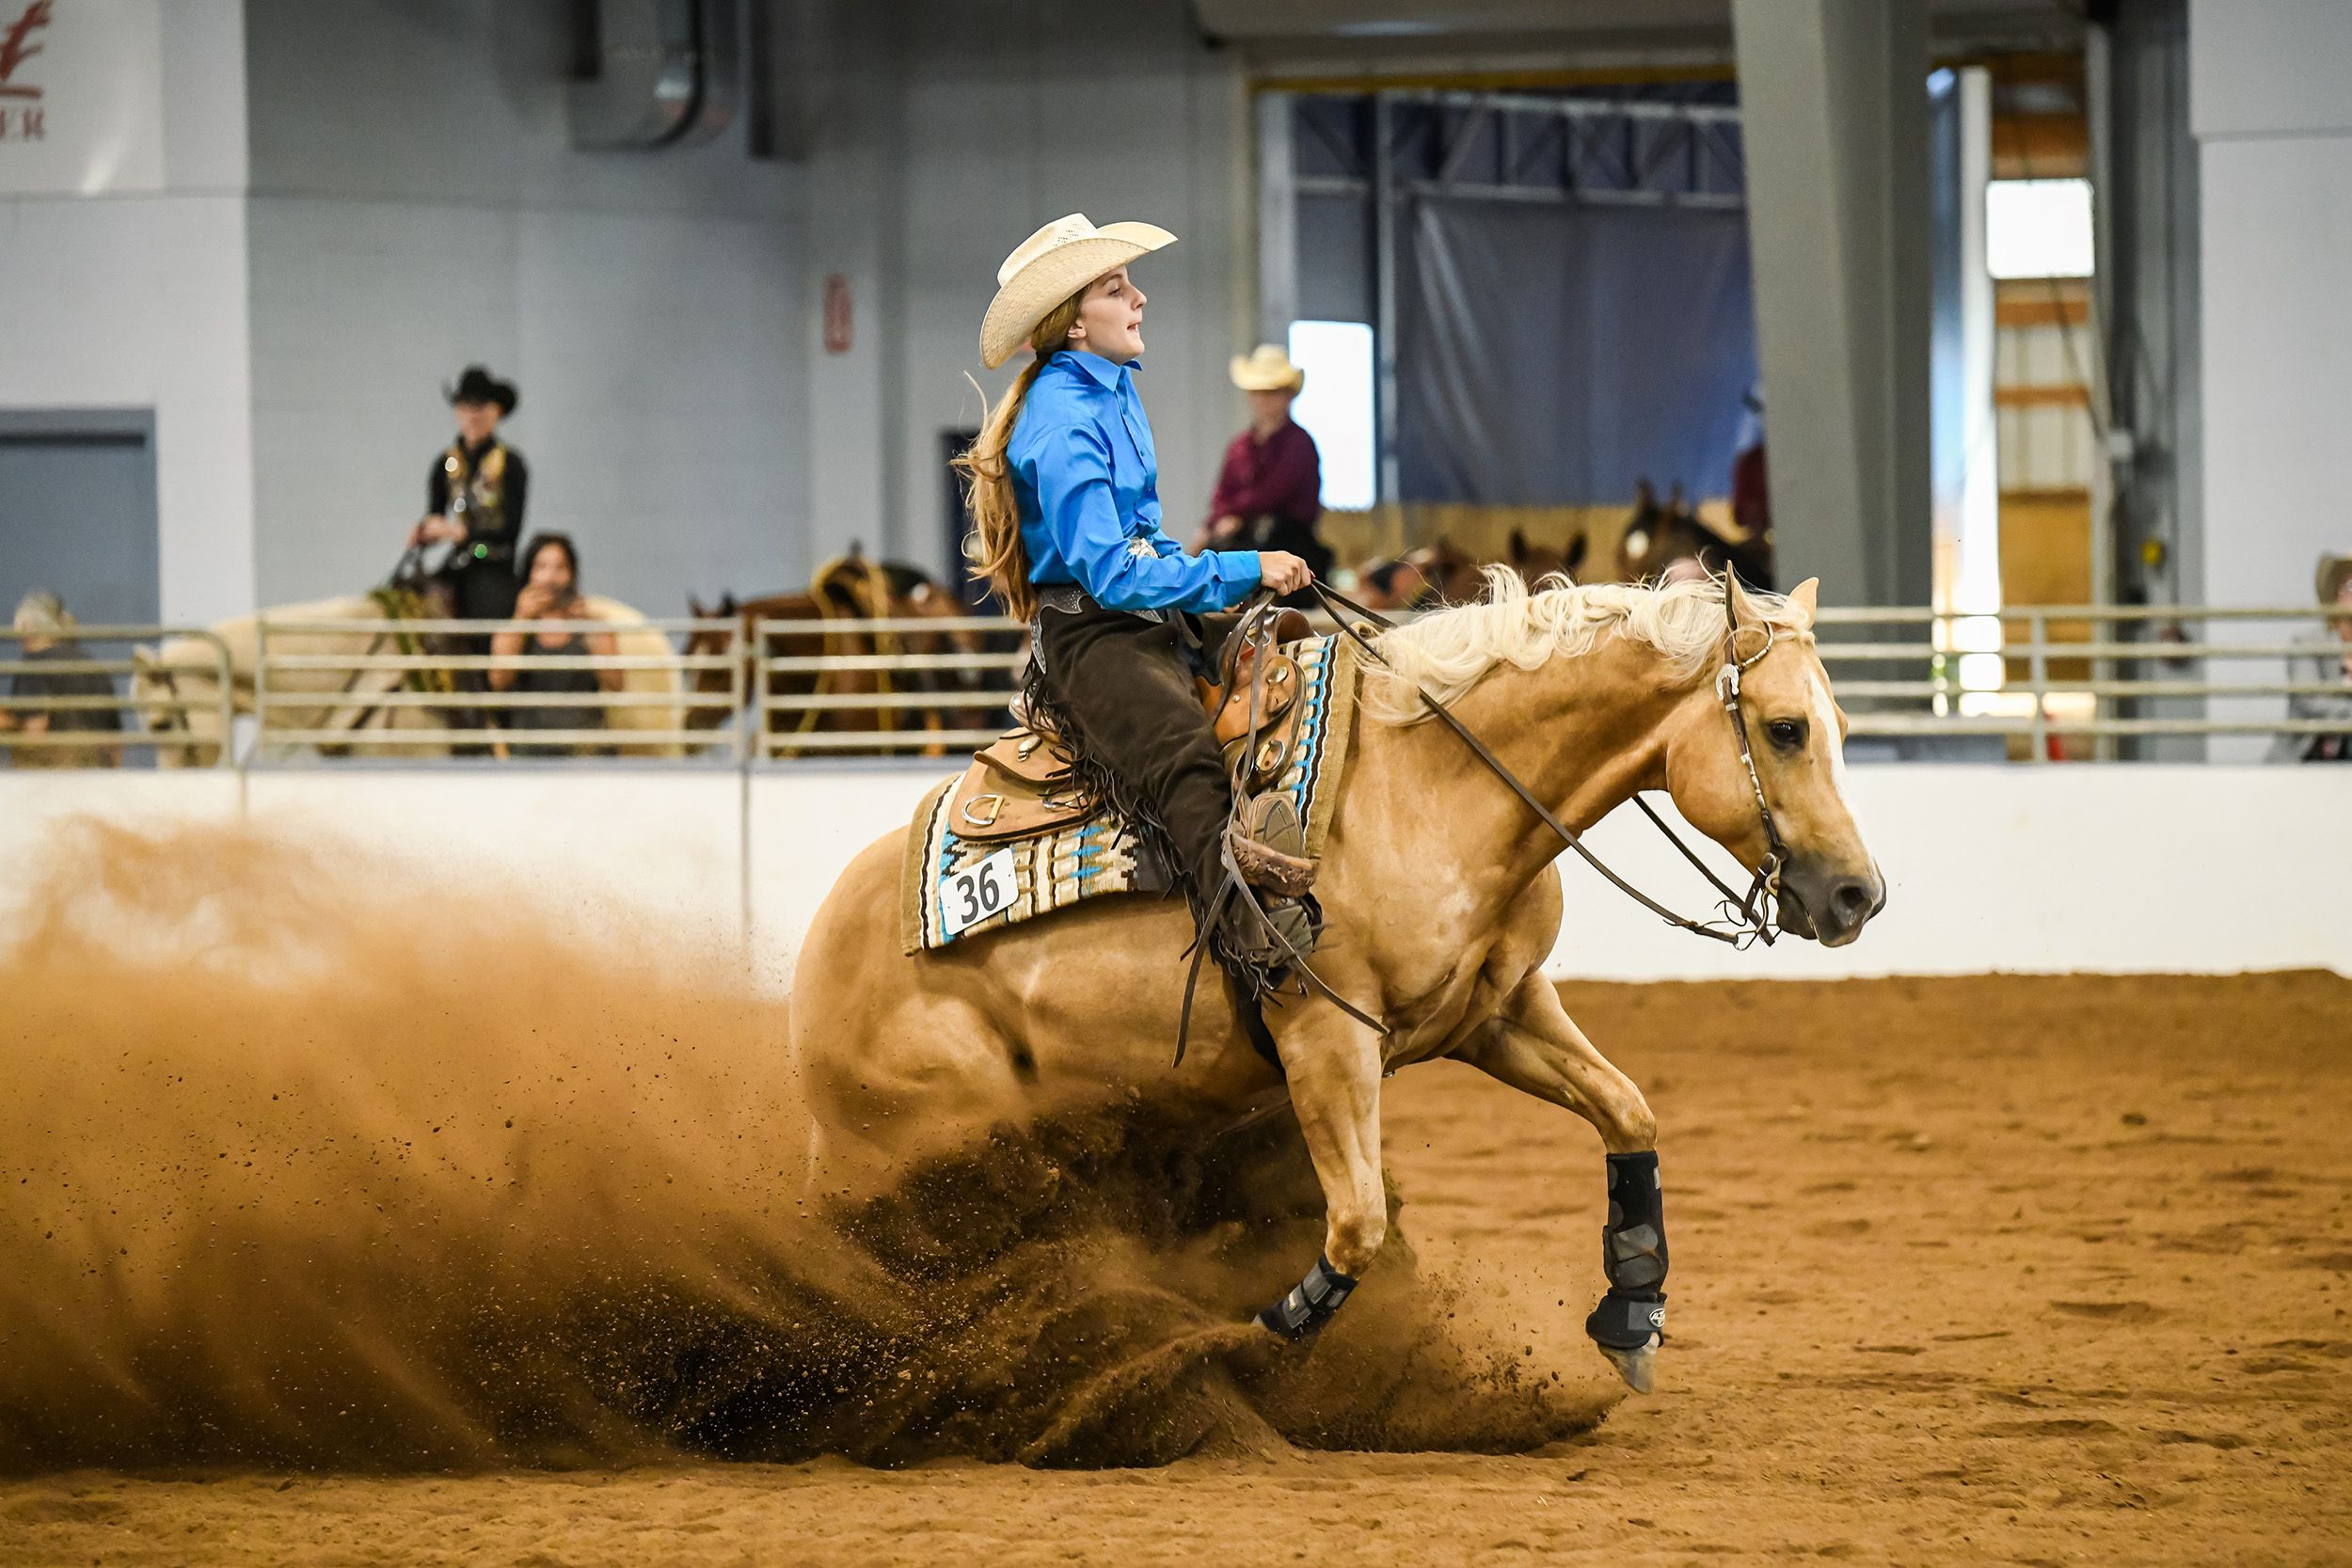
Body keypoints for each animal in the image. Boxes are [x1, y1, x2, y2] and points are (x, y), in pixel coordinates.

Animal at [788, 570, 1883, 1394]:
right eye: (1786, 728)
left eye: (1838, 721)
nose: (1857, 894)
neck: (1431, 782)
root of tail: (815, 961)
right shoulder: (1326, 1035)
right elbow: (1357, 1224)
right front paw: (1237, 1344)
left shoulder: (1498, 1011)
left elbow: (1628, 1110)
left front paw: (1632, 1310)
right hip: (932, 1145)